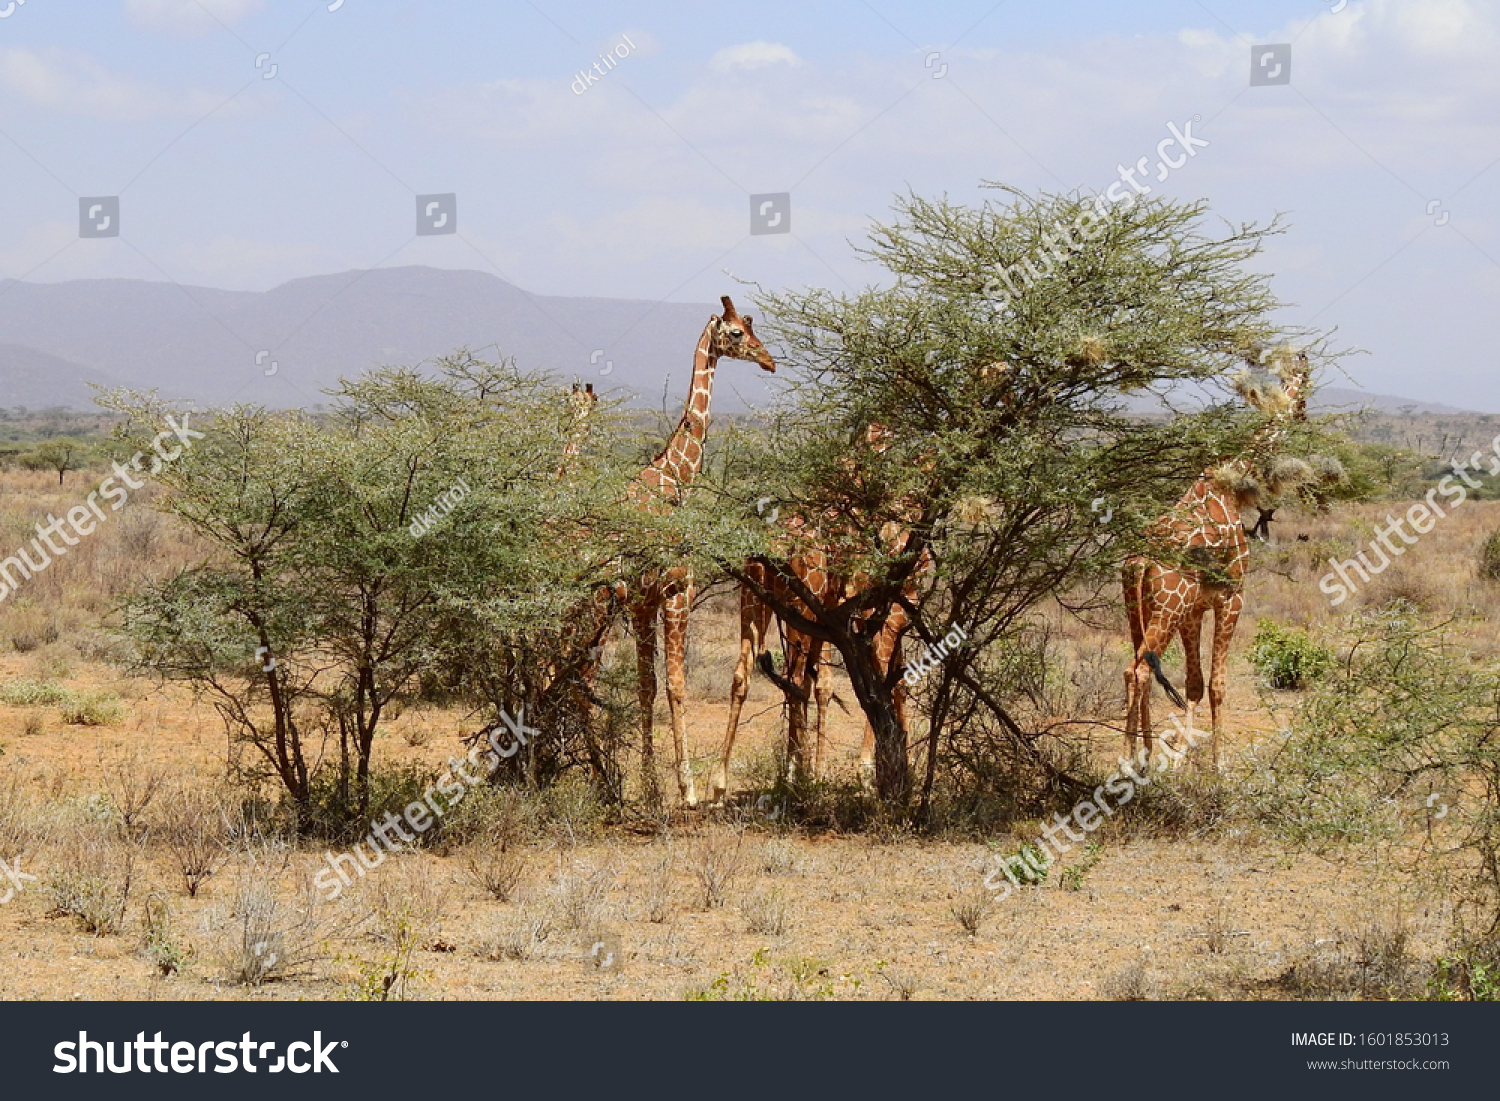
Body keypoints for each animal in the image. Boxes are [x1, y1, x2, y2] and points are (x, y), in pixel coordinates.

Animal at [616, 296, 775, 806]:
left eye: (752, 325)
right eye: (737, 332)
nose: (769, 360)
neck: (673, 475)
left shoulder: (644, 602)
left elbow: (647, 685)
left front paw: (649, 784)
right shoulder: (676, 590)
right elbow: (676, 686)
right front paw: (684, 789)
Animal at [1123, 348, 1312, 768]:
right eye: (1305, 387)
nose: (1302, 414)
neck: (1233, 482)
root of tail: (1140, 560)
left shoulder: (1196, 609)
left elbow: (1194, 683)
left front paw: (1187, 753)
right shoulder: (1232, 597)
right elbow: (1217, 684)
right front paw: (1216, 765)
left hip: (1135, 610)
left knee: (1137, 666)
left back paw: (1145, 754)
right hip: (1166, 609)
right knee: (1138, 670)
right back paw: (1131, 761)